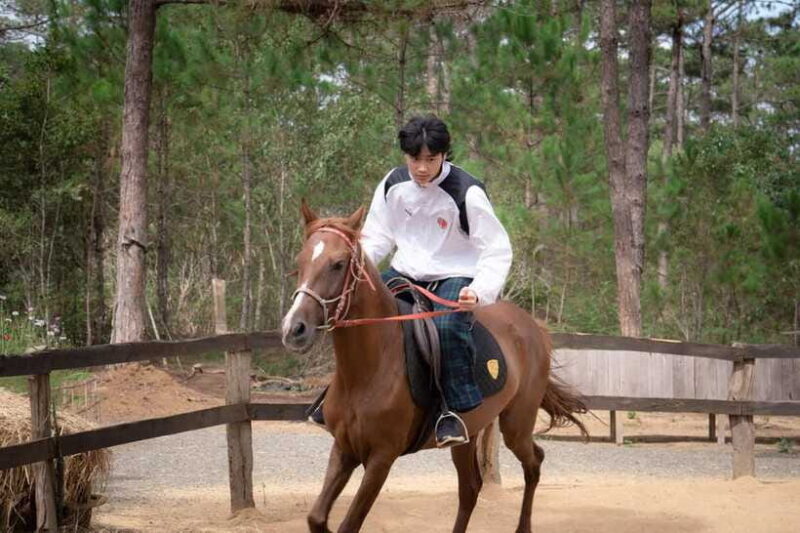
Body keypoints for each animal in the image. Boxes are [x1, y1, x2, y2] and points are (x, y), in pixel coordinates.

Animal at [281, 201, 588, 533]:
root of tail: (533, 327)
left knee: (534, 463)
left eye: (337, 264)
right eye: (300, 260)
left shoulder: (381, 458)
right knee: (470, 489)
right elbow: (316, 518)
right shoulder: (344, 447)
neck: (369, 369)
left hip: (516, 425)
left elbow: (349, 525)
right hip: (468, 435)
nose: (294, 328)